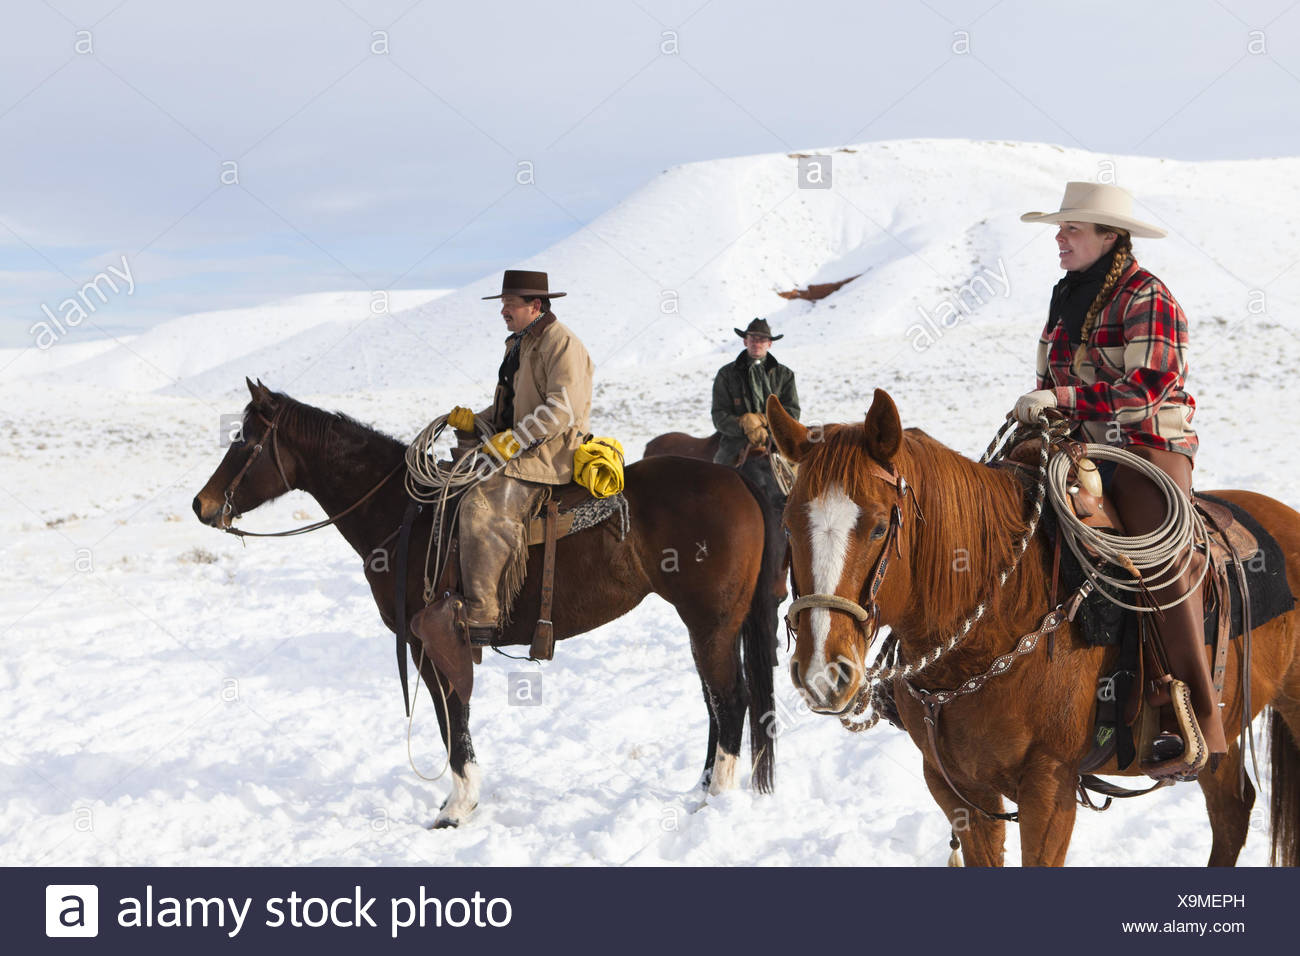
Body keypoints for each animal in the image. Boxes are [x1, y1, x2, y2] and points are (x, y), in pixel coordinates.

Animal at [192, 379, 781, 828]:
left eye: (244, 441)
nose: (201, 505)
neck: (405, 514)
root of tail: (736, 479)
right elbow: (451, 717)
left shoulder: (432, 641)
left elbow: (452, 717)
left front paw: (457, 806)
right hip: (708, 624)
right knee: (714, 700)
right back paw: (701, 787)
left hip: (710, 623)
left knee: (731, 699)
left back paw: (715, 798)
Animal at [768, 388, 1300, 866]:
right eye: (788, 524)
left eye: (880, 526)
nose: (822, 674)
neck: (992, 628)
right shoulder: (956, 787)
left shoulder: (1049, 787)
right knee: (1232, 809)